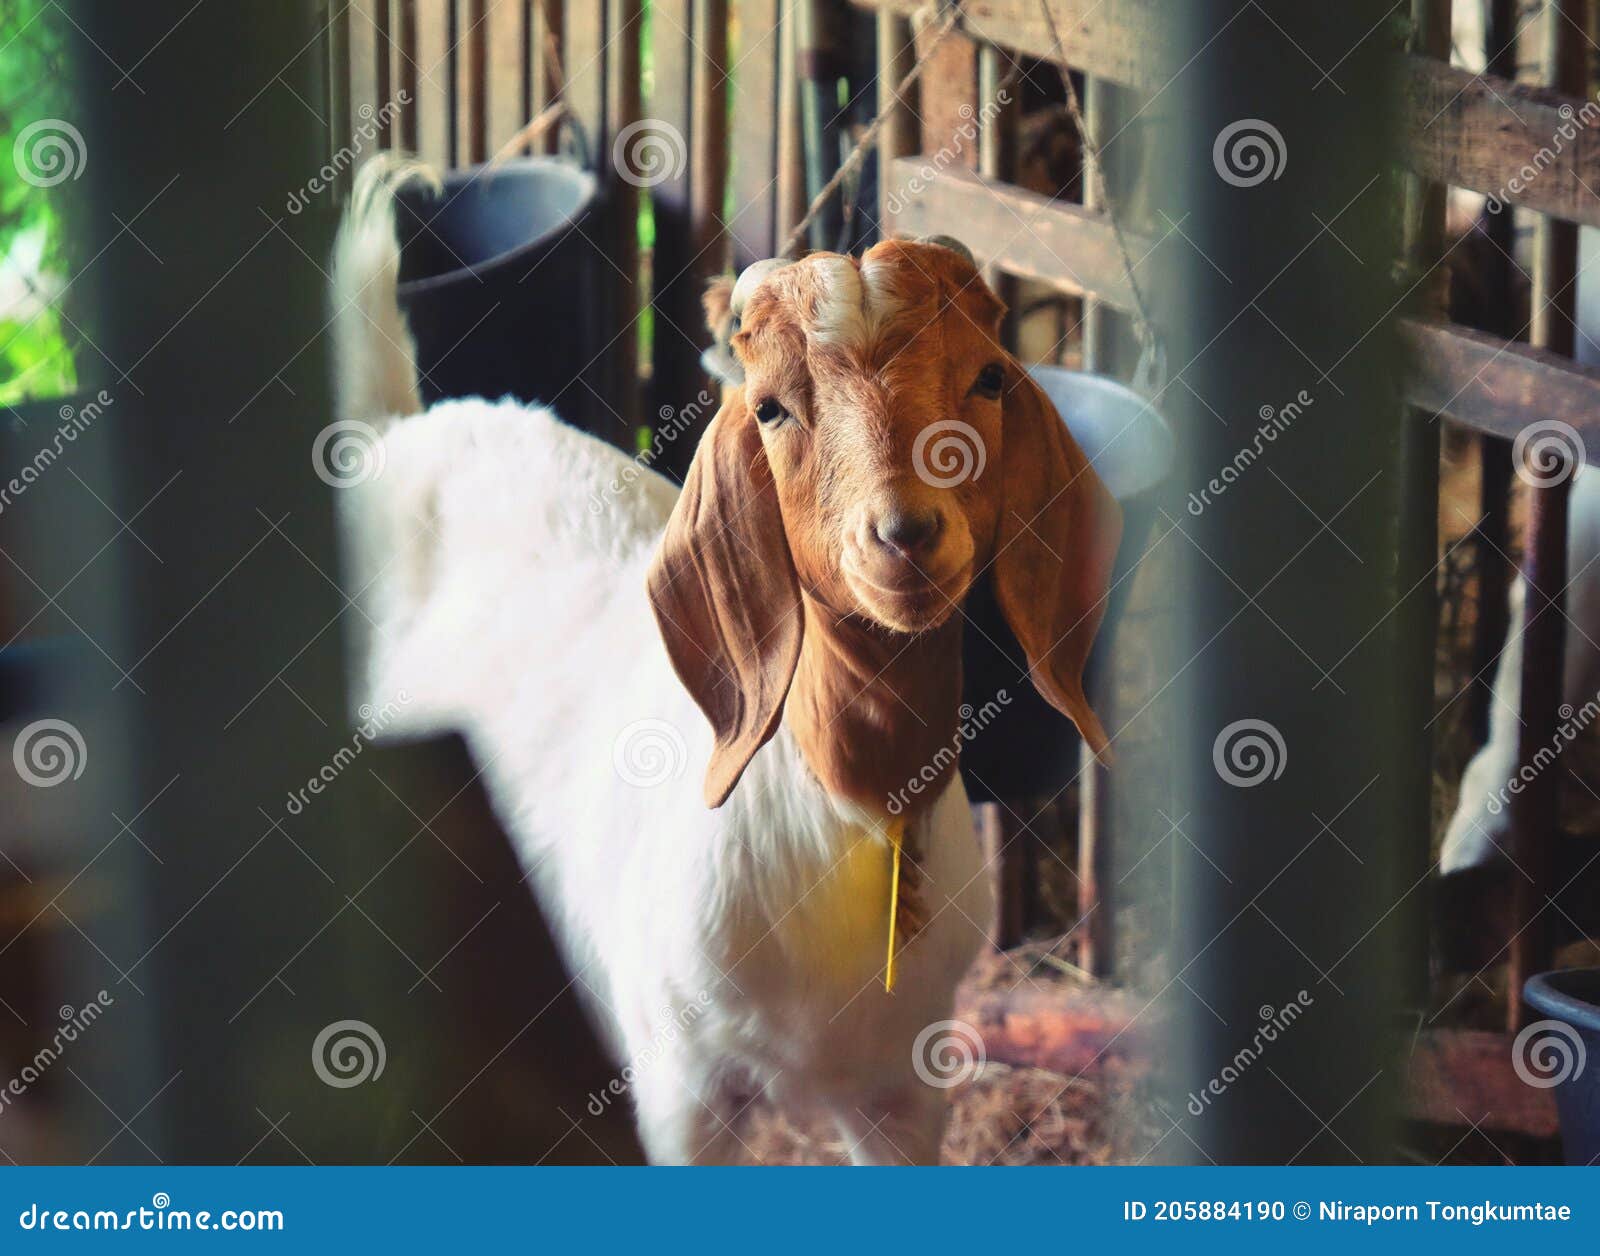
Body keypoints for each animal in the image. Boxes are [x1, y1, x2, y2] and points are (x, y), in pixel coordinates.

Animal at [331, 159, 1121, 1164]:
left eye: (987, 377)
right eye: (771, 407)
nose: (904, 537)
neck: (842, 816)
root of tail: (390, 431)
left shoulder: (902, 1091)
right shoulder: (681, 1087)